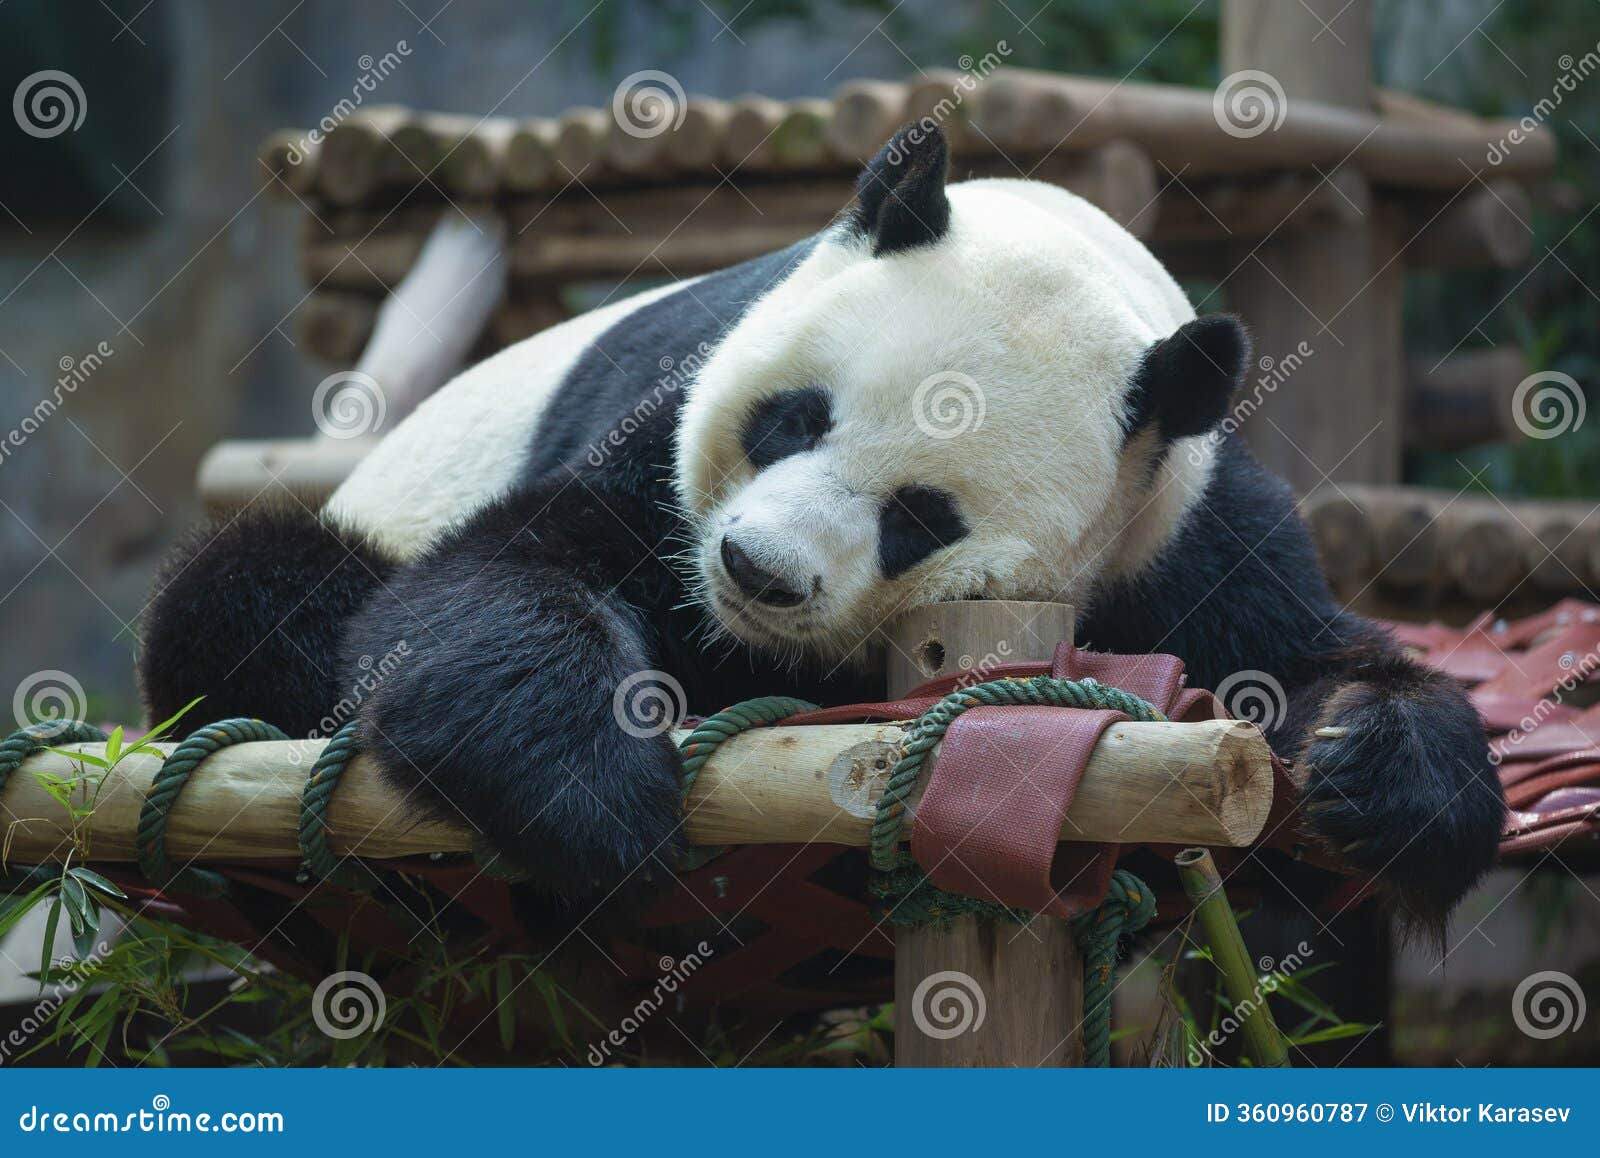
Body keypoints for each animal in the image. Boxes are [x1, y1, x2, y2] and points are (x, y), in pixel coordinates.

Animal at [140, 125, 1504, 932]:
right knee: (250, 589)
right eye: (794, 417)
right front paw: (594, 792)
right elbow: (501, 580)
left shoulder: (1175, 523)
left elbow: (1300, 654)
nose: (758, 571)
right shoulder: (663, 444)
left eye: (918, 518)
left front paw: (1390, 776)